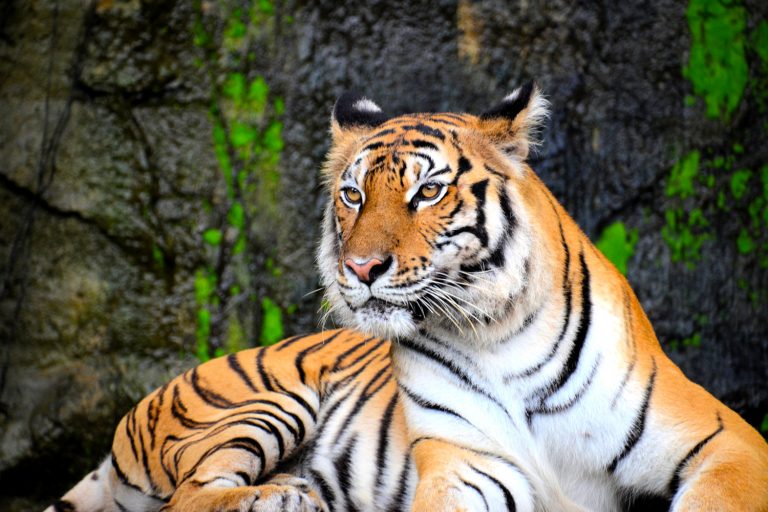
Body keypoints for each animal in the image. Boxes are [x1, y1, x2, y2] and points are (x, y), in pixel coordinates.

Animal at [46, 84, 768, 512]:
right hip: (259, 404)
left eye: (427, 191)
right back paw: (285, 497)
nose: (361, 267)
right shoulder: (468, 464)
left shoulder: (726, 443)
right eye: (353, 194)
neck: (498, 333)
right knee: (190, 496)